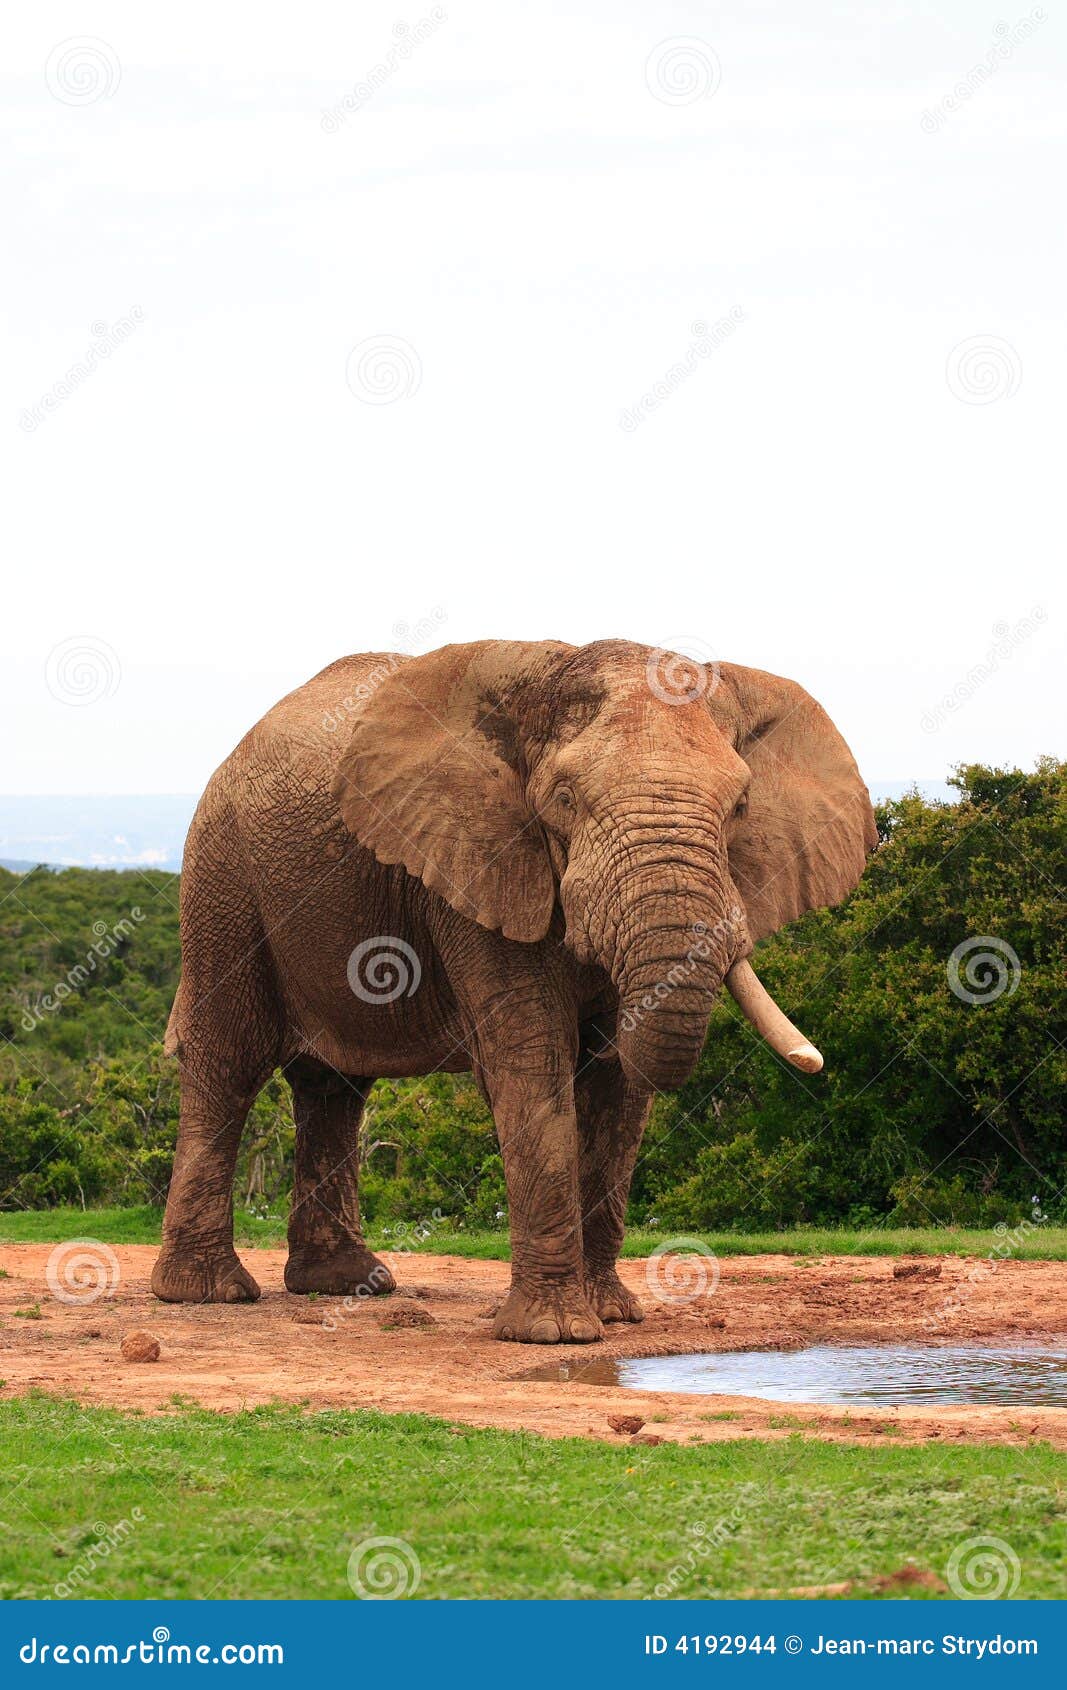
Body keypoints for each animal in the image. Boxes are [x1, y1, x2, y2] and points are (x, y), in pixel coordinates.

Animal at [152, 638, 876, 1342]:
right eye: (564, 800)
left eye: (740, 807)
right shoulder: (478, 862)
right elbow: (531, 1060)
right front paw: (554, 1334)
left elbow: (617, 1087)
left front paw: (612, 1315)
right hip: (222, 878)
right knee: (230, 1062)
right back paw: (208, 1293)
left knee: (334, 1087)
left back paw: (343, 1282)